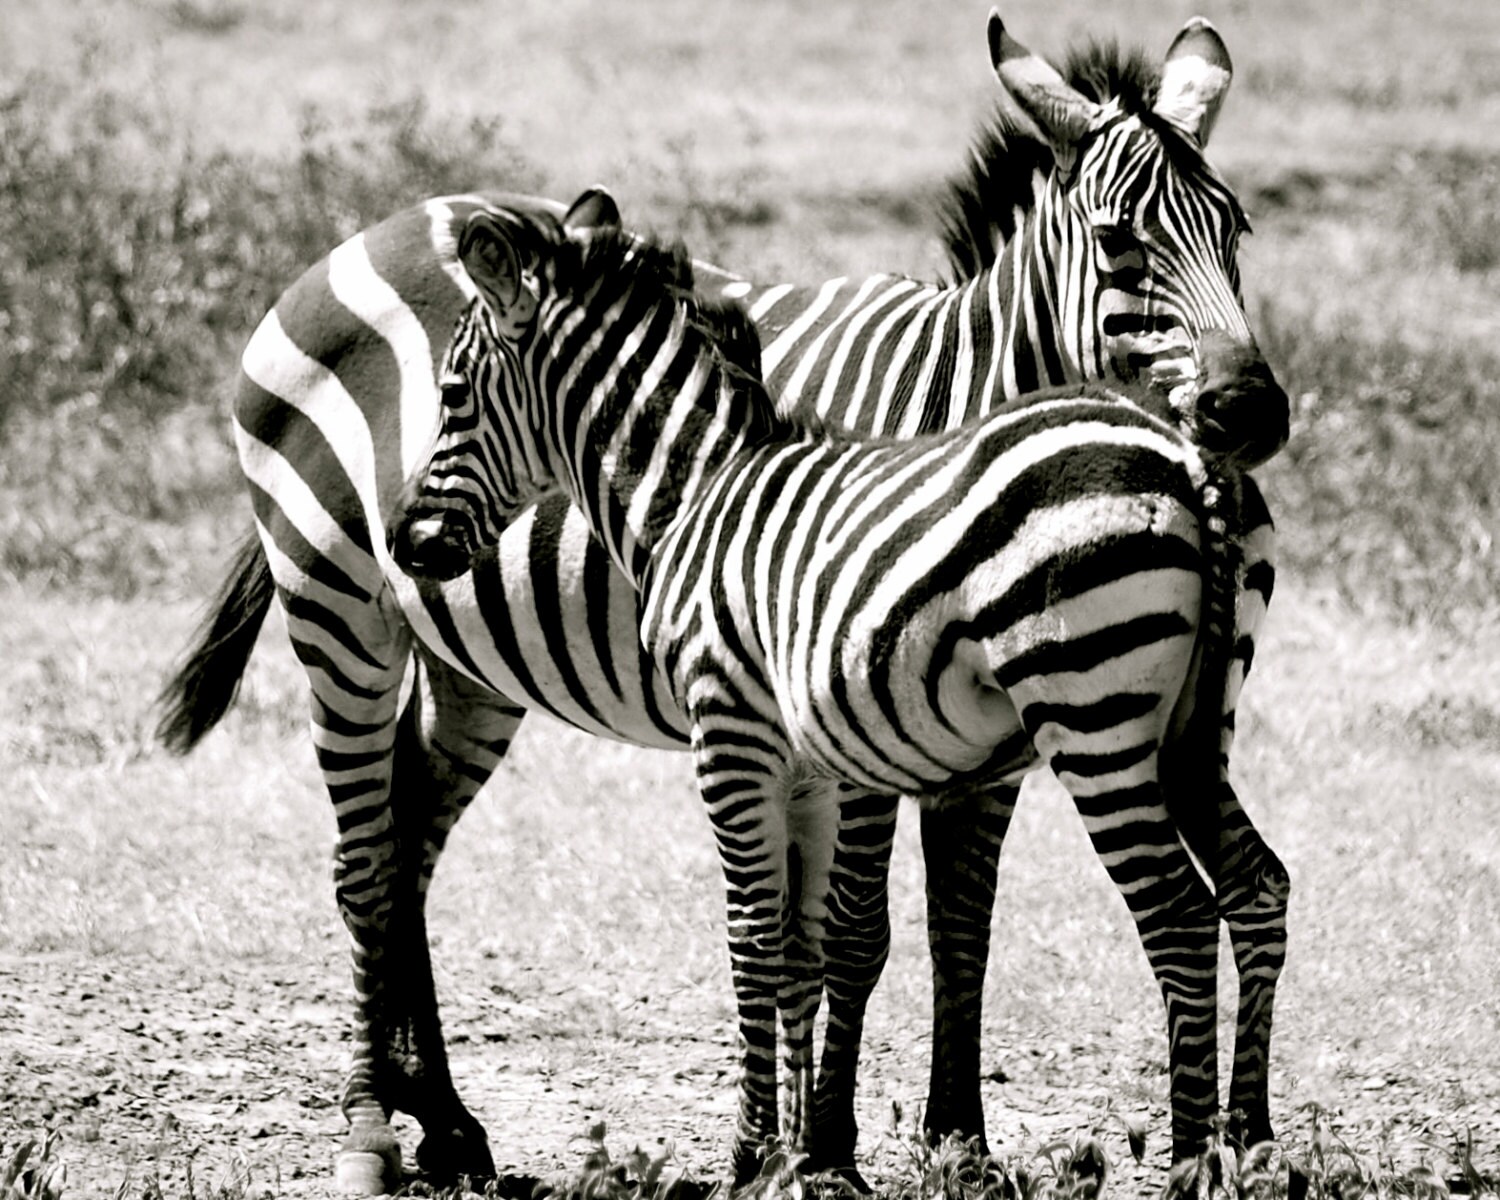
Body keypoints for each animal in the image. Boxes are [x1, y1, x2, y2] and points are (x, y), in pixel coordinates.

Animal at [386, 195, 1287, 1181]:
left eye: (451, 396)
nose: (401, 539)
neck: (696, 491)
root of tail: (1189, 460)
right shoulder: (809, 761)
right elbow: (804, 945)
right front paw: (803, 1153)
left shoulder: (727, 733)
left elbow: (751, 937)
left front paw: (752, 1155)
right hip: (1189, 728)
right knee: (1256, 887)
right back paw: (1249, 1144)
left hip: (1092, 716)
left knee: (1179, 919)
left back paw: (1193, 1163)